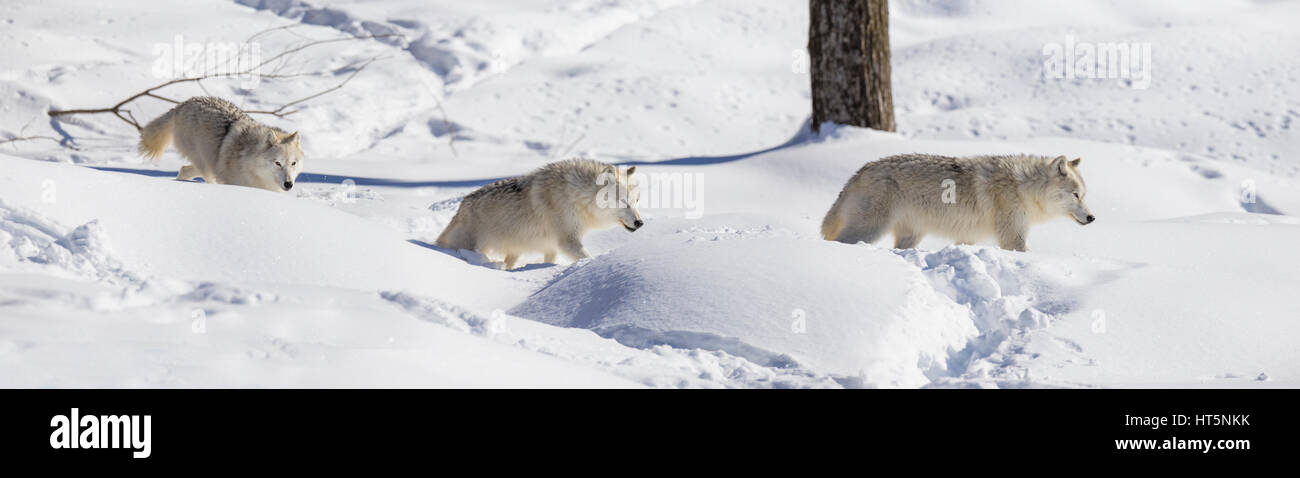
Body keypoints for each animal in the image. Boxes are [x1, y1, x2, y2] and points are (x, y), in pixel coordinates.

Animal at [138, 96, 304, 192]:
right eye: (277, 163)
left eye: (293, 163)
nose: (289, 184)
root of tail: (182, 105)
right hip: (206, 167)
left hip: (208, 165)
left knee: (183, 170)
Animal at [435, 158, 644, 269]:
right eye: (623, 202)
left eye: (636, 202)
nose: (640, 223)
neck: (577, 195)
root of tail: (461, 207)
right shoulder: (567, 241)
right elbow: (587, 257)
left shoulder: (552, 247)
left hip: (515, 252)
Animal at [821, 154, 1094, 251]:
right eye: (1076, 195)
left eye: (1084, 194)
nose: (1092, 218)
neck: (1023, 187)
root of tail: (861, 170)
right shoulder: (1012, 239)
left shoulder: (967, 238)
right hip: (870, 230)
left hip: (910, 237)